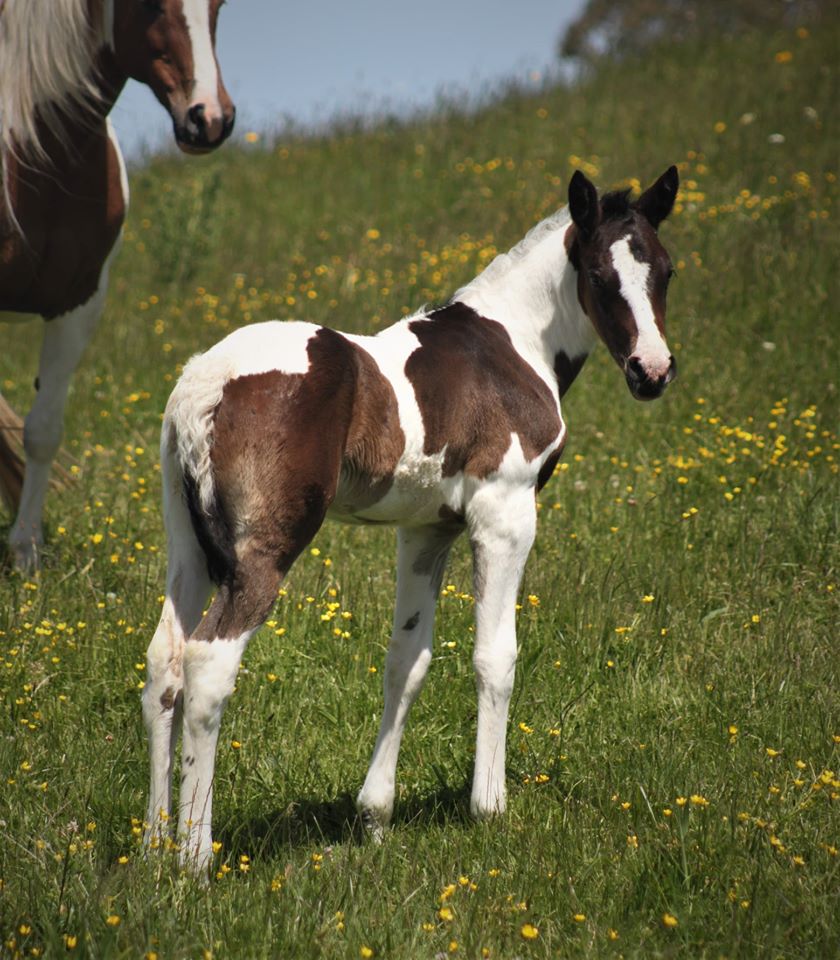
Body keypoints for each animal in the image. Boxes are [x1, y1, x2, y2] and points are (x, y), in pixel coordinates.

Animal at [0, 0, 235, 569]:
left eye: (219, 7)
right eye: (148, 6)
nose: (209, 119)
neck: (39, 152)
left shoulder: (78, 305)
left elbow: (42, 430)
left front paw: (26, 549)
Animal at [143, 166, 680, 869]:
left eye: (666, 270)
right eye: (598, 274)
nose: (653, 371)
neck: (514, 343)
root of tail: (201, 387)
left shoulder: (426, 530)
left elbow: (407, 660)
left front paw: (374, 817)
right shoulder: (505, 513)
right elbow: (495, 656)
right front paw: (489, 808)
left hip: (191, 546)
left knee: (164, 663)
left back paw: (152, 847)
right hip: (263, 551)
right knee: (208, 667)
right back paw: (195, 857)